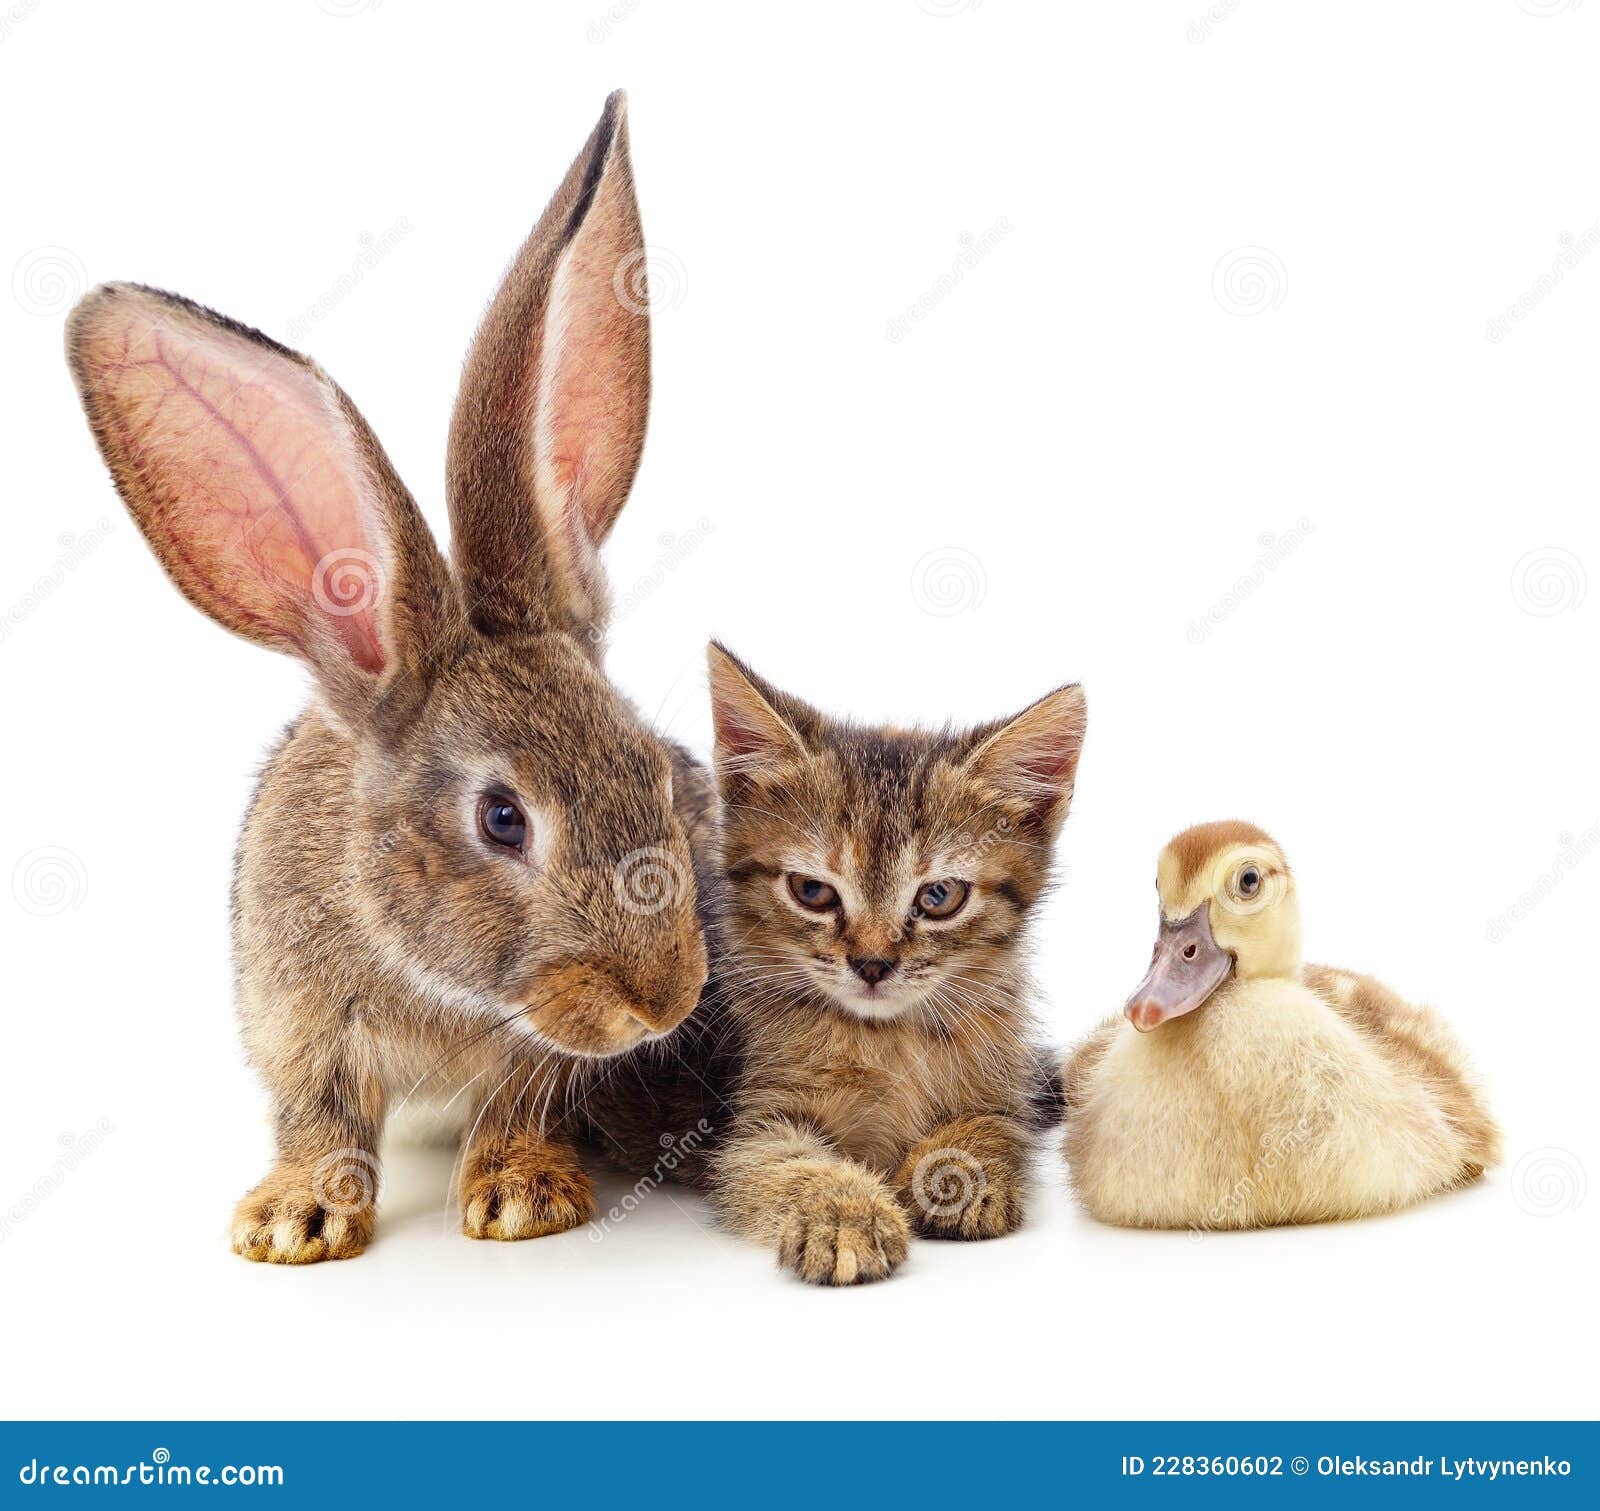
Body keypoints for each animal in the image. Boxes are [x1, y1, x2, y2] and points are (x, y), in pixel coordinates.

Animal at [64, 92, 714, 1263]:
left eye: (658, 773)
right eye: (501, 819)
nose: (662, 999)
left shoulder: (532, 1055)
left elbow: (515, 1104)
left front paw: (520, 1197)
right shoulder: (297, 1023)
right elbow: (319, 1117)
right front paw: (294, 1219)